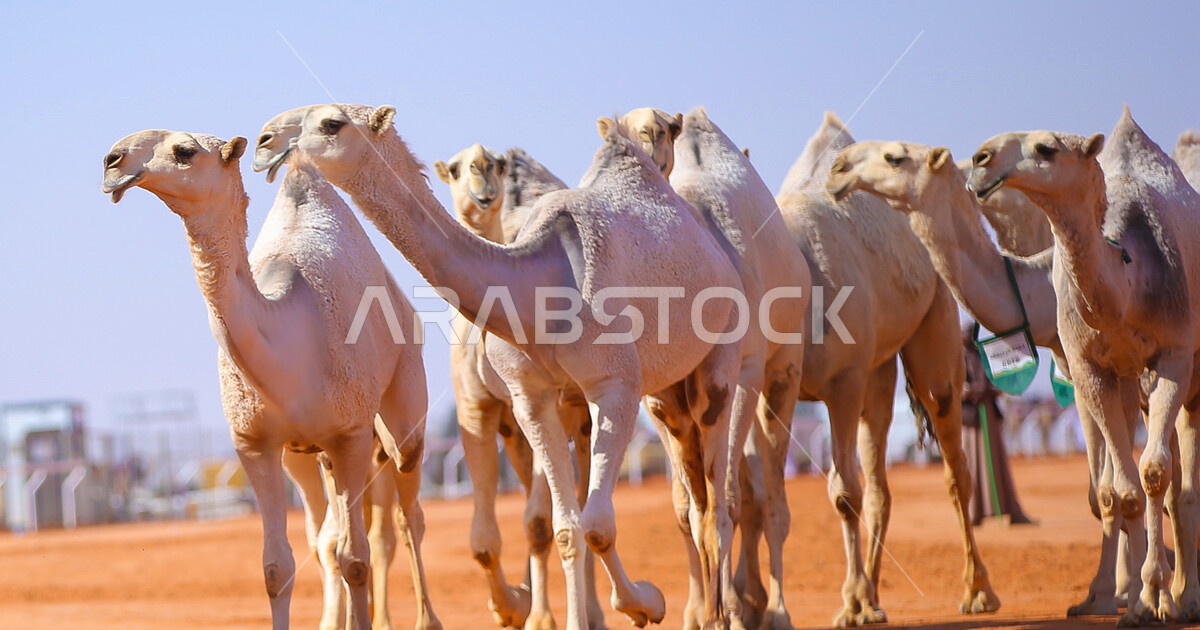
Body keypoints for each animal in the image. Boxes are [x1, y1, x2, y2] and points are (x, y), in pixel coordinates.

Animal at [101, 130, 440, 630]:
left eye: (185, 151)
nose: (112, 161)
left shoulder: (351, 434)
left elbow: (355, 559)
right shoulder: (255, 443)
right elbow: (277, 566)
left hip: (403, 403)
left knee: (406, 511)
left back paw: (424, 619)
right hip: (305, 455)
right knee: (327, 537)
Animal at [286, 103, 748, 630]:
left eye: (331, 123)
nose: (268, 143)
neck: (536, 285)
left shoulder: (614, 384)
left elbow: (596, 525)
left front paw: (646, 602)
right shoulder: (530, 397)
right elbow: (568, 527)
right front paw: (607, 610)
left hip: (720, 358)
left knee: (717, 498)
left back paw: (722, 614)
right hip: (663, 390)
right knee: (689, 495)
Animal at [617, 107, 812, 630]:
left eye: (661, 131)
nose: (646, 136)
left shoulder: (739, 375)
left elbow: (726, 500)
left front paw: (732, 614)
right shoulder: (659, 401)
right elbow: (688, 509)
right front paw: (699, 613)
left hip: (783, 367)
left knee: (768, 494)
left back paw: (775, 609)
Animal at [743, 112, 999, 627]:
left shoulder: (844, 381)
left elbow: (843, 492)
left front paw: (853, 601)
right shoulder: (770, 389)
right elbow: (762, 492)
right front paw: (847, 600)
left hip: (935, 328)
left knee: (953, 465)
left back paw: (977, 591)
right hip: (879, 370)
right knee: (881, 483)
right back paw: (877, 594)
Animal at [966, 107, 1200, 625]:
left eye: (1046, 148)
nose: (979, 158)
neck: (1127, 280)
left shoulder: (1175, 355)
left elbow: (1153, 473)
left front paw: (1152, 595)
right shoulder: (1092, 370)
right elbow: (1127, 489)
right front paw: (1139, 604)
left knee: (1182, 482)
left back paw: (1187, 598)